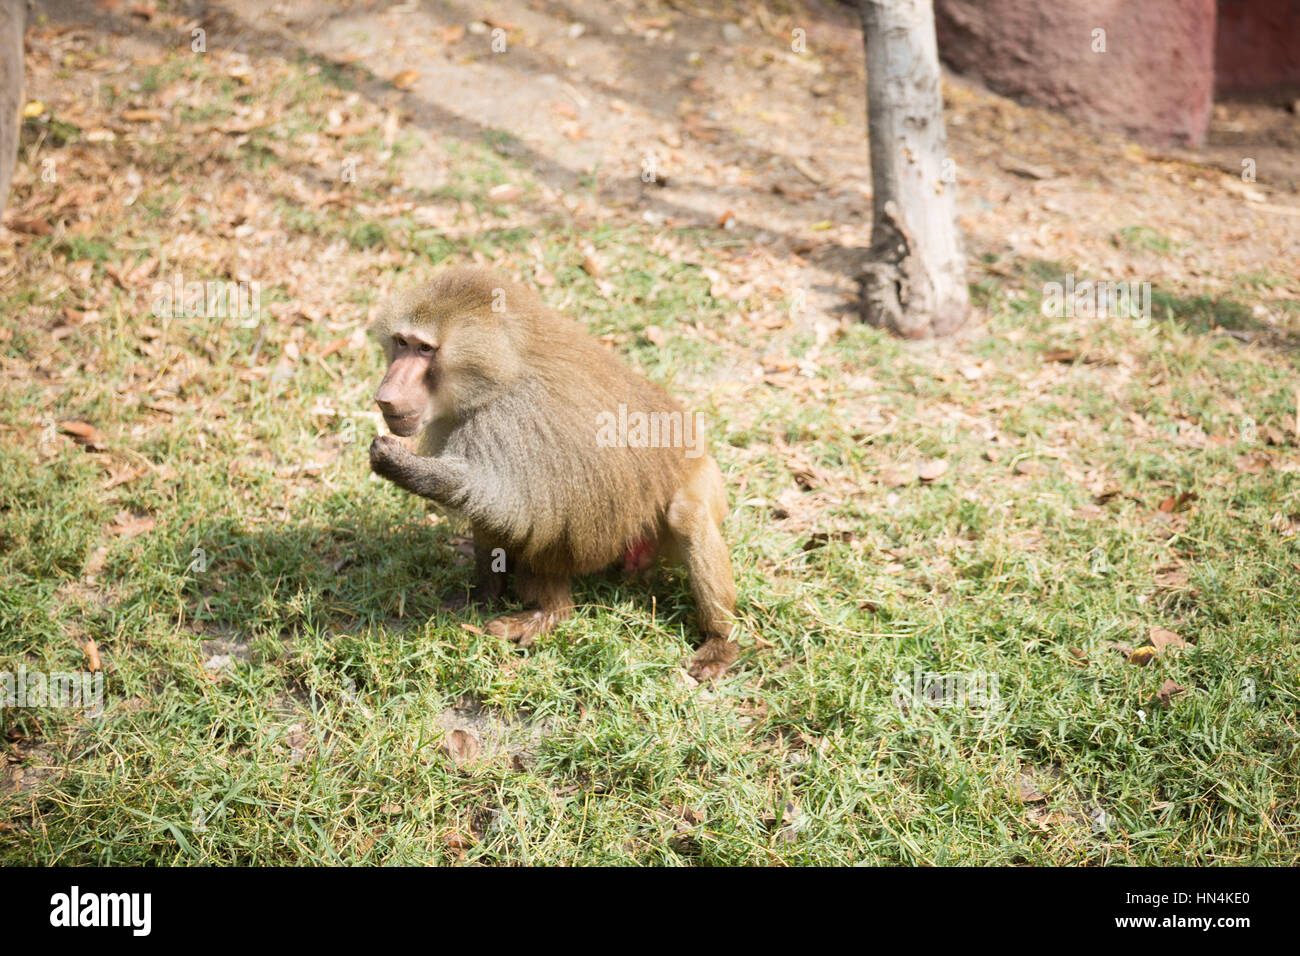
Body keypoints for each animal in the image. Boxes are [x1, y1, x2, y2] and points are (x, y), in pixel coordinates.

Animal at [367, 267, 739, 680]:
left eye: (425, 349)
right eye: (401, 343)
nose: (384, 395)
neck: (499, 372)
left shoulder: (508, 421)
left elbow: (498, 493)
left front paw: (399, 464)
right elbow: (488, 503)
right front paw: (483, 595)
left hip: (702, 482)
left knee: (682, 515)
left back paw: (717, 640)